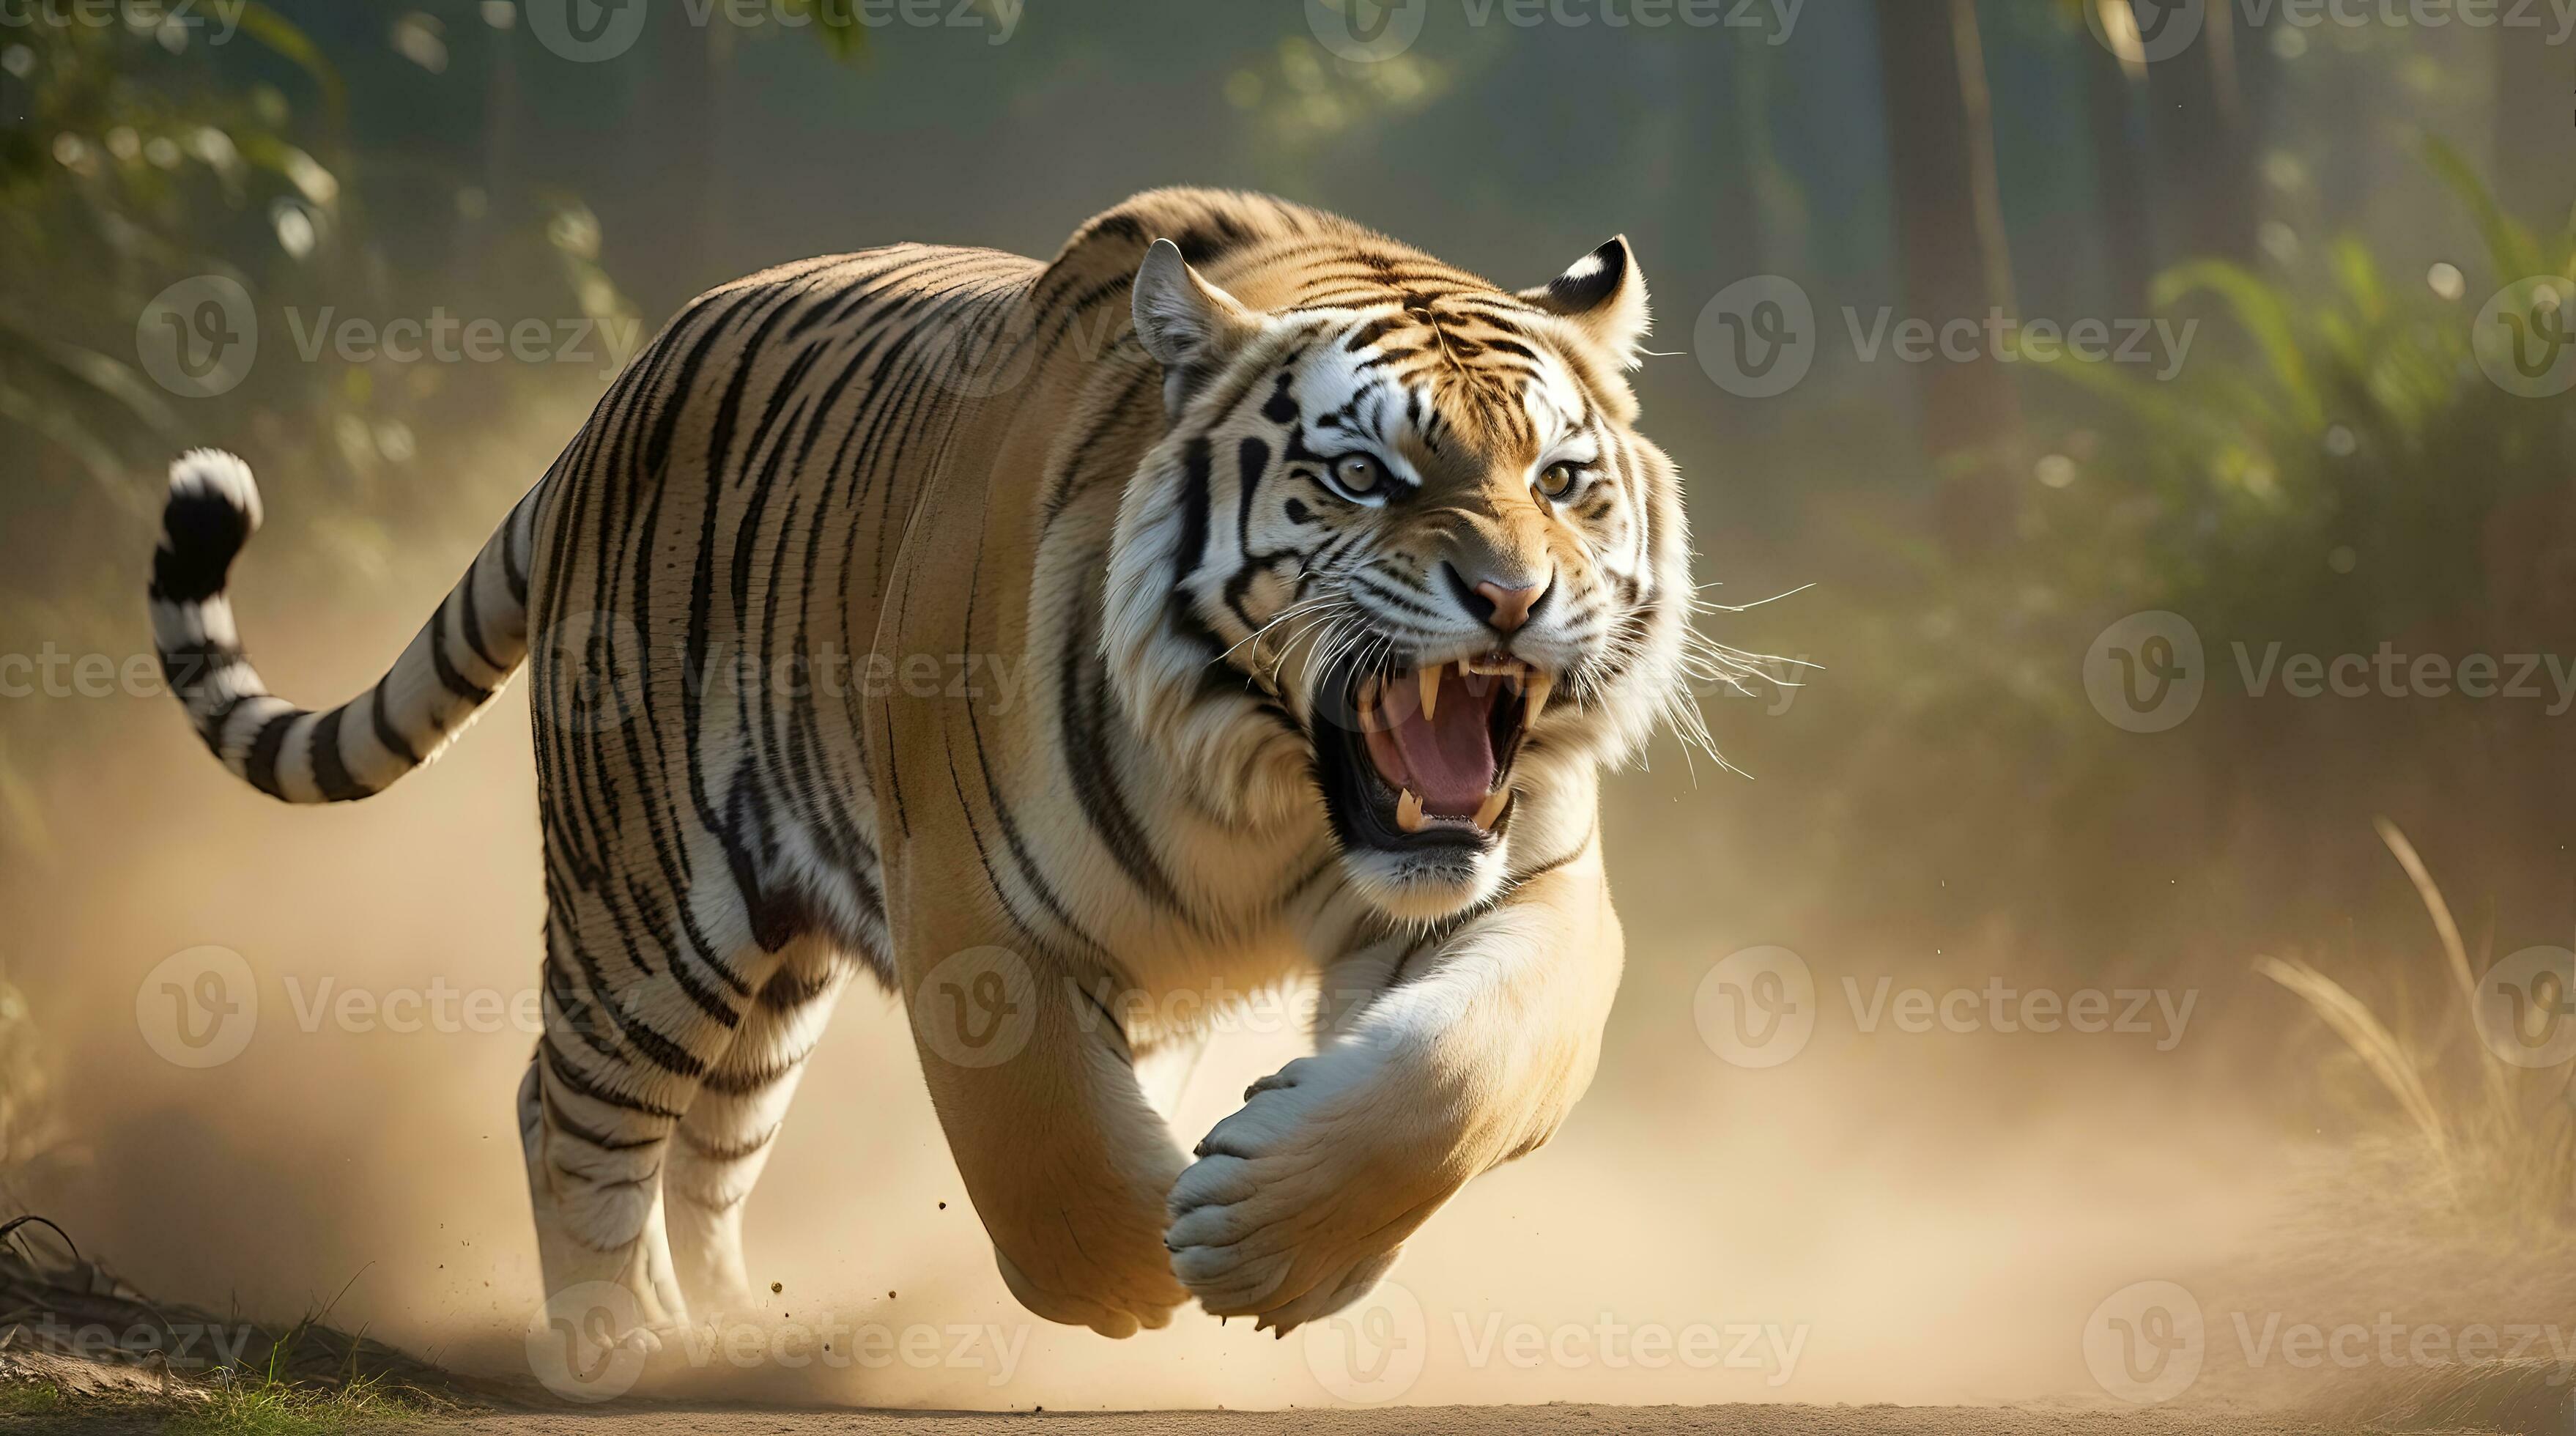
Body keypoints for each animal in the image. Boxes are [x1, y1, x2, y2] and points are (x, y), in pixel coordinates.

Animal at [146, 188, 1694, 1345]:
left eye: (1560, 481)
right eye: (1366, 476)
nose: (1513, 600)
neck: (1262, 787)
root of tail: (618, 397)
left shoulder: (1530, 881)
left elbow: (1457, 1070)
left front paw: (1281, 1241)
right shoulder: (967, 890)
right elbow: (1038, 1121)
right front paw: (1129, 1265)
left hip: (774, 956)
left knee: (710, 1146)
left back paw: (726, 1332)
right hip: (645, 899)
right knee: (571, 1106)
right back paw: (615, 1354)